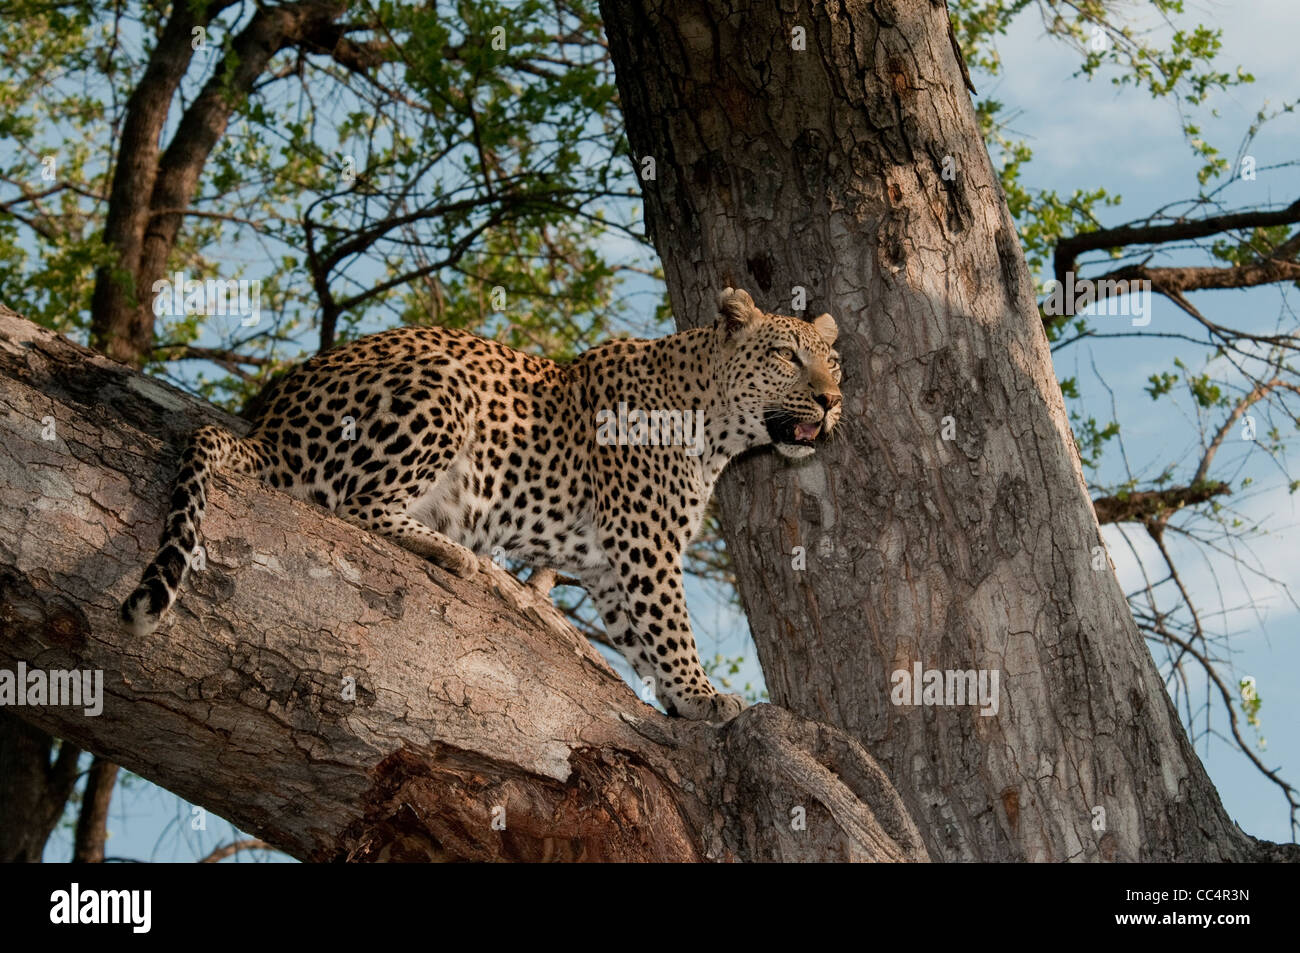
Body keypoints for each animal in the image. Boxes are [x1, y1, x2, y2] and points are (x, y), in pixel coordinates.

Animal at [121, 287, 843, 721]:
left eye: (832, 361)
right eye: (786, 355)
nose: (833, 400)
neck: (717, 426)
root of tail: (269, 426)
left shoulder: (611, 568)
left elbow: (642, 636)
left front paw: (682, 699)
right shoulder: (645, 544)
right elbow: (671, 626)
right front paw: (702, 692)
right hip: (442, 386)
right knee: (355, 501)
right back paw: (459, 555)